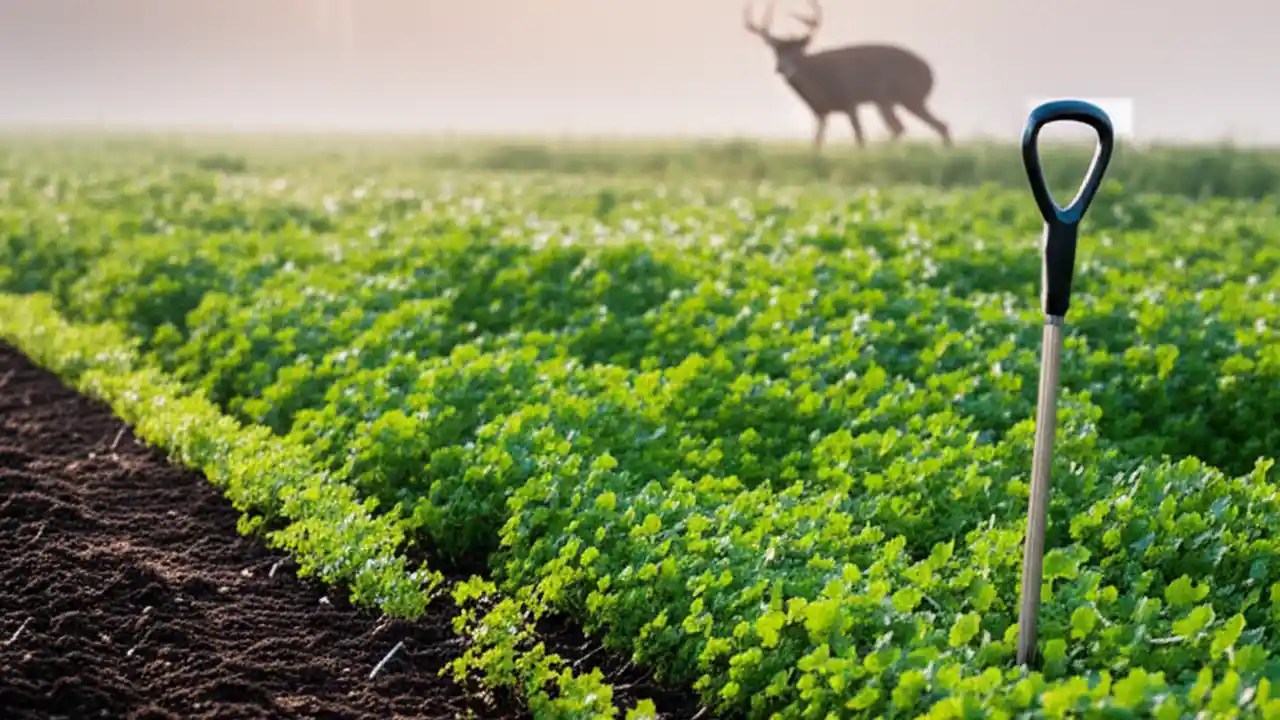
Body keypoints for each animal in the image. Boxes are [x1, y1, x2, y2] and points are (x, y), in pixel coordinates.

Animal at [744, 0, 952, 151]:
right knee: (937, 125)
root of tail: (930, 72)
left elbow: (859, 136)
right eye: (776, 51)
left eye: (797, 51)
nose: (781, 68)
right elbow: (817, 142)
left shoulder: (850, 100)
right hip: (905, 100)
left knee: (900, 127)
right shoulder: (820, 112)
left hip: (894, 96)